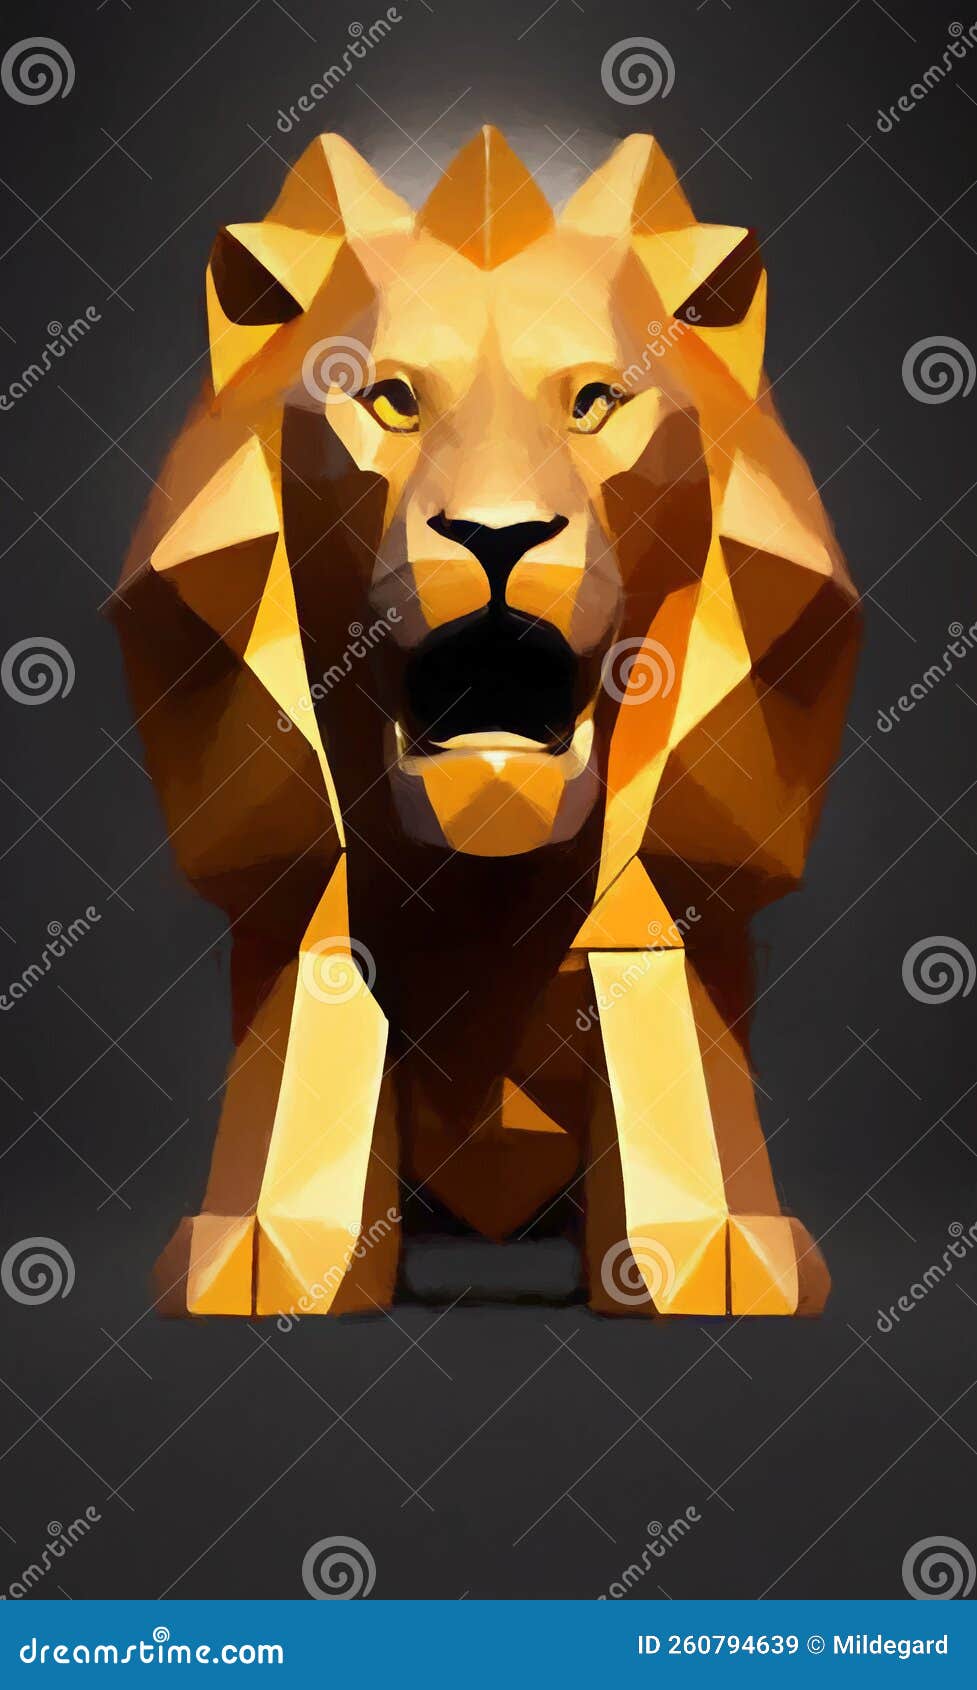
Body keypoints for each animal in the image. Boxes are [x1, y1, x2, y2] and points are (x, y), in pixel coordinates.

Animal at [115, 127, 859, 1319]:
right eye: (389, 400)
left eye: (594, 402)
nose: (497, 534)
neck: (488, 901)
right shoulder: (307, 923)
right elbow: (307, 1045)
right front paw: (269, 1248)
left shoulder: (659, 932)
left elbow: (673, 1051)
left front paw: (717, 1249)